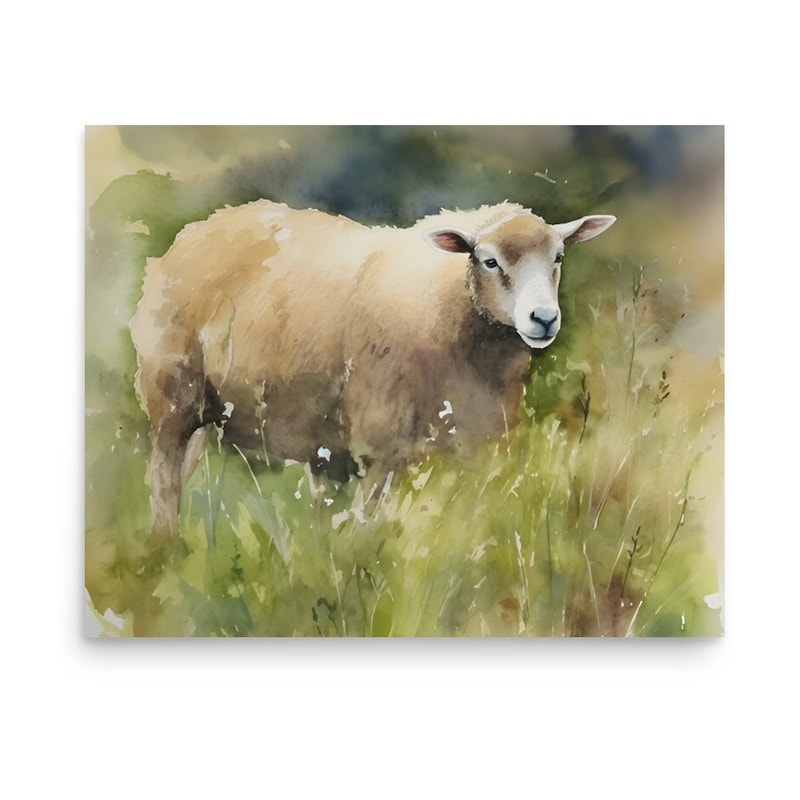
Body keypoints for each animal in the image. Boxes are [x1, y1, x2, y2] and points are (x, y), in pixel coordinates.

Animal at [130, 200, 616, 540]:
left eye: (558, 257)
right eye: (490, 260)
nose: (543, 318)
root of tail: (197, 228)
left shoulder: (481, 452)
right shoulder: (381, 449)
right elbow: (366, 534)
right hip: (171, 394)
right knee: (164, 481)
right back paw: (165, 547)